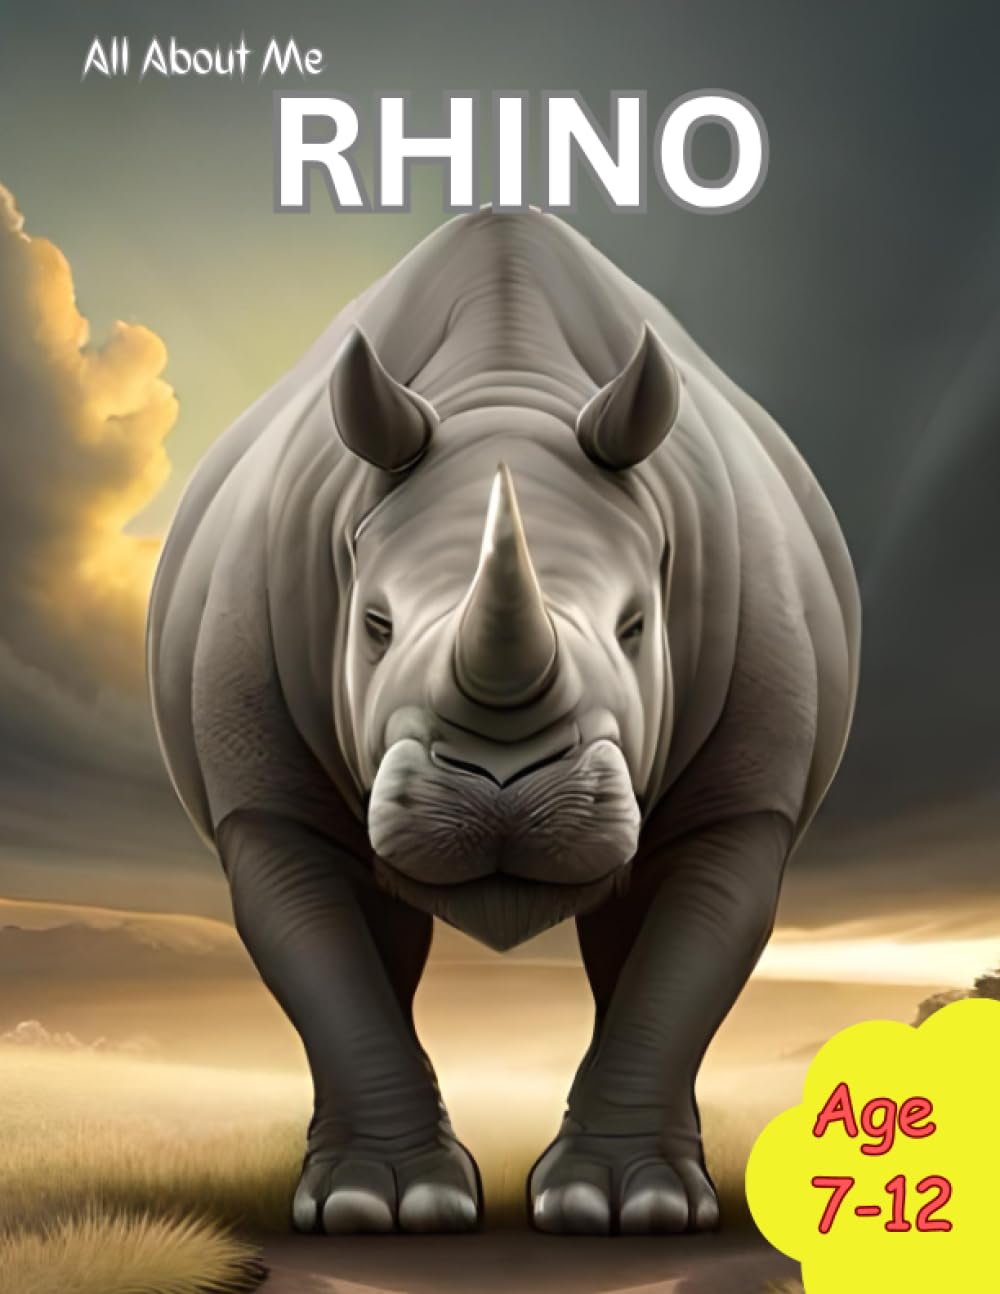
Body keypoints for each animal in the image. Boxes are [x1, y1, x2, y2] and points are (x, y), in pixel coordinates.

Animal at [148, 209, 859, 1237]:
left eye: (636, 626)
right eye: (374, 626)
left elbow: (682, 970)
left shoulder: (745, 796)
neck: (506, 389)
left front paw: (630, 1206)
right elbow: (324, 968)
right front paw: (373, 1205)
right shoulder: (264, 798)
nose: (504, 782)